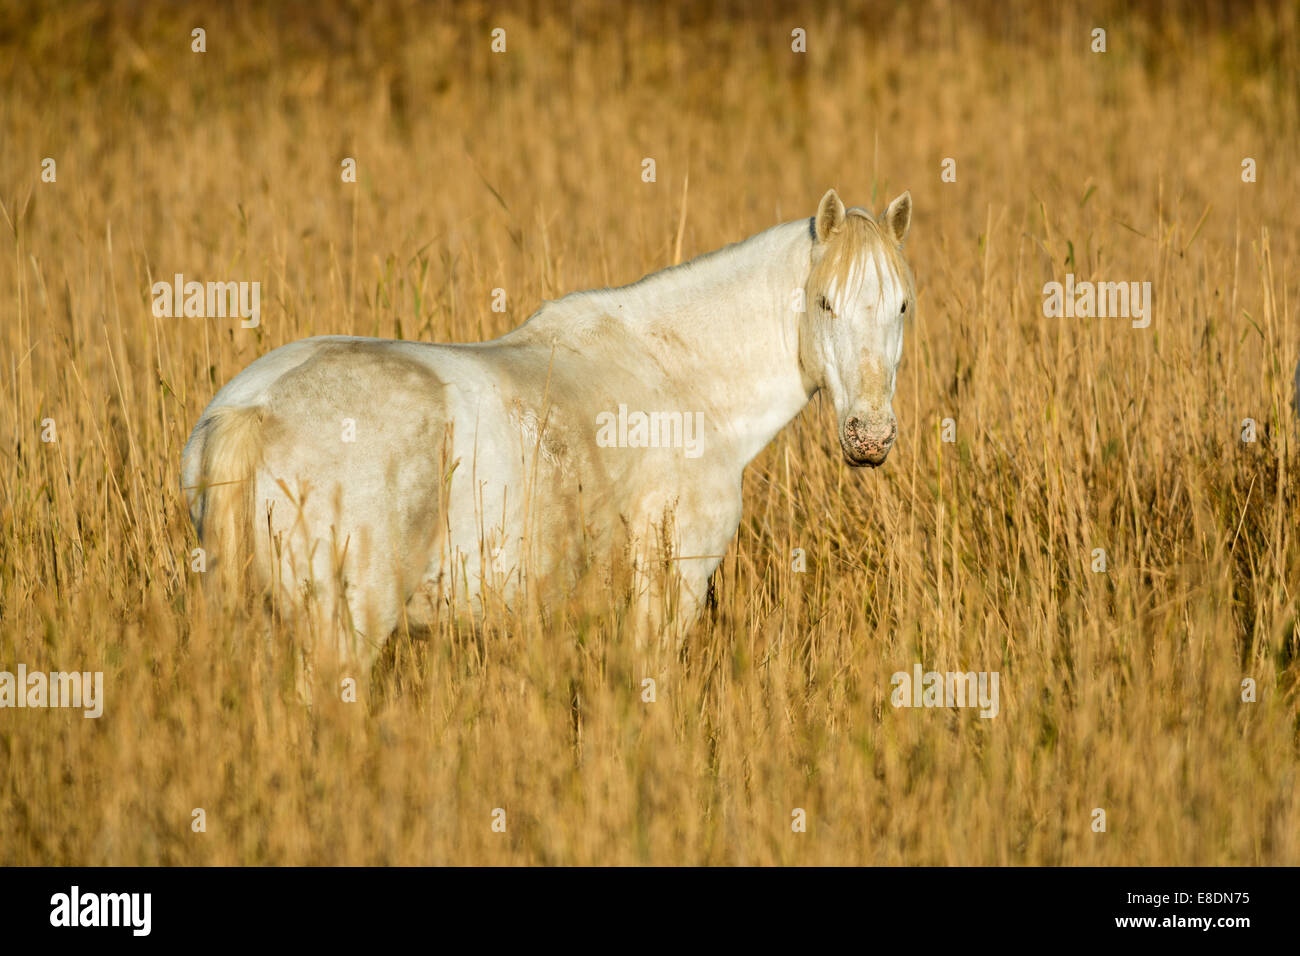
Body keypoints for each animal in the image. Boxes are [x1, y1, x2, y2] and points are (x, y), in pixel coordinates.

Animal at [181, 188, 915, 681]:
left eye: (902, 306)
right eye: (824, 303)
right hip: (343, 632)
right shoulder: (668, 592)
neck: (682, 378)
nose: (869, 436)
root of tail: (254, 409)